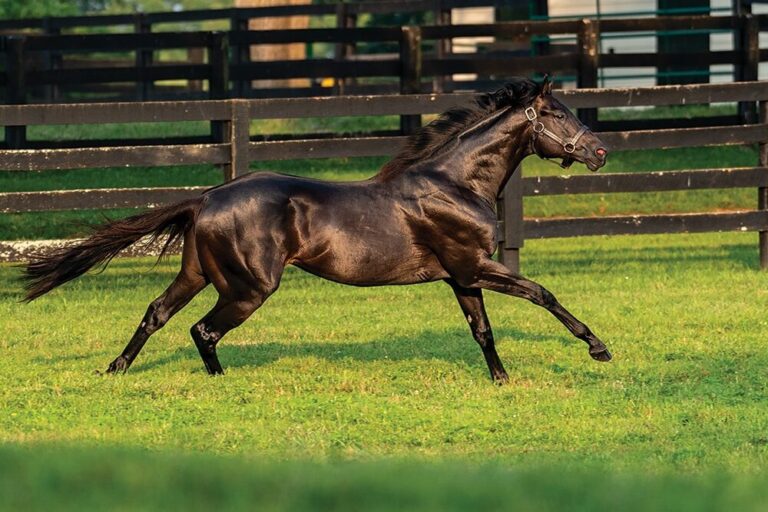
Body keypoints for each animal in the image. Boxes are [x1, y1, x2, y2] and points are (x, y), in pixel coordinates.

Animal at [23, 77, 611, 383]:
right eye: (556, 115)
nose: (601, 152)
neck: (454, 184)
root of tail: (208, 197)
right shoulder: (476, 266)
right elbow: (542, 293)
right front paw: (598, 348)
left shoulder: (462, 277)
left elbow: (482, 330)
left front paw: (501, 381)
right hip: (249, 287)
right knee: (202, 330)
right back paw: (218, 381)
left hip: (199, 274)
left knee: (157, 314)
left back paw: (116, 368)